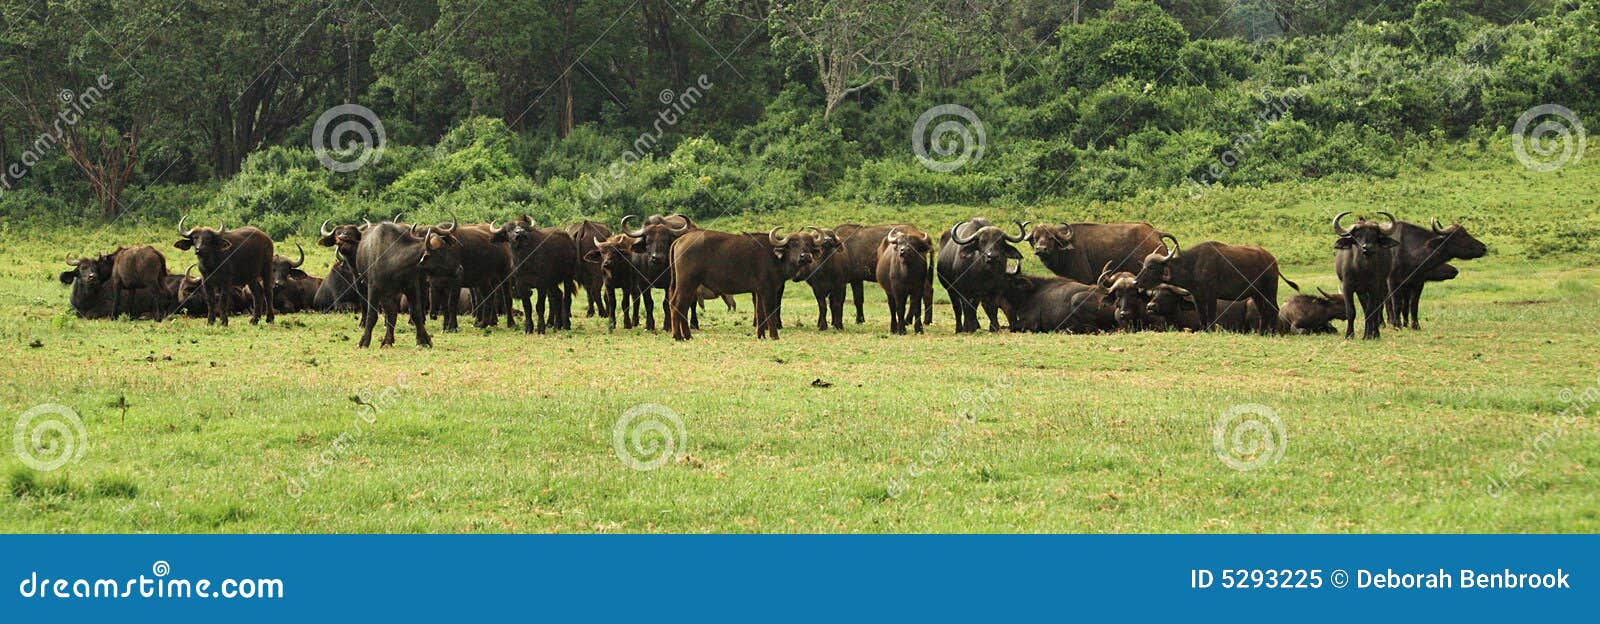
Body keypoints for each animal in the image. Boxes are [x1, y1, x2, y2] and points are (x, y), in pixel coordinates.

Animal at [1333, 211, 1399, 339]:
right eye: (1357, 236)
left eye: (1374, 235)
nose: (1367, 247)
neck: (1361, 269)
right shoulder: (1347, 286)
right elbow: (1351, 311)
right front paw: (1349, 334)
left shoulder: (1374, 287)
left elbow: (1371, 311)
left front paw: (1368, 335)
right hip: (1361, 291)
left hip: (1381, 287)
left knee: (1376, 308)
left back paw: (1375, 332)